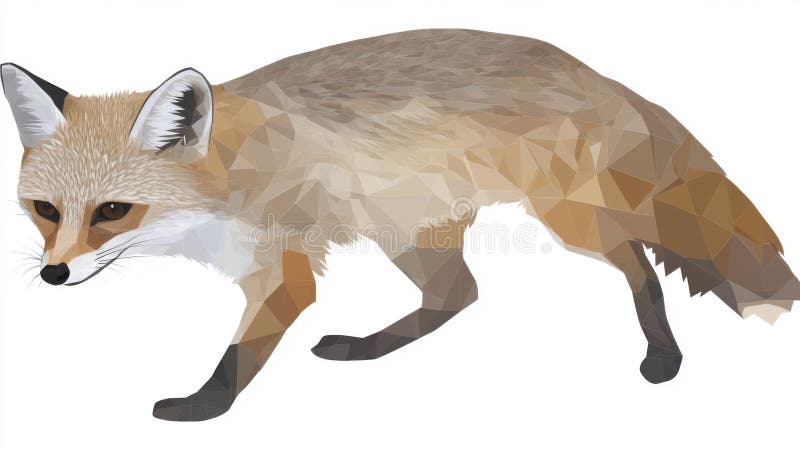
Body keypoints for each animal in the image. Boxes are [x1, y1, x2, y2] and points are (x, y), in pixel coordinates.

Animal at [3, 28, 799, 422]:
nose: (55, 272)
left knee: (637, 264)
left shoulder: (282, 267)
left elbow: (237, 357)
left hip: (569, 218)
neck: (227, 175)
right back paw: (364, 349)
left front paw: (201, 409)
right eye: (46, 211)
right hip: (407, 230)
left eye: (113, 211)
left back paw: (663, 355)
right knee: (459, 295)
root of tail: (599, 74)